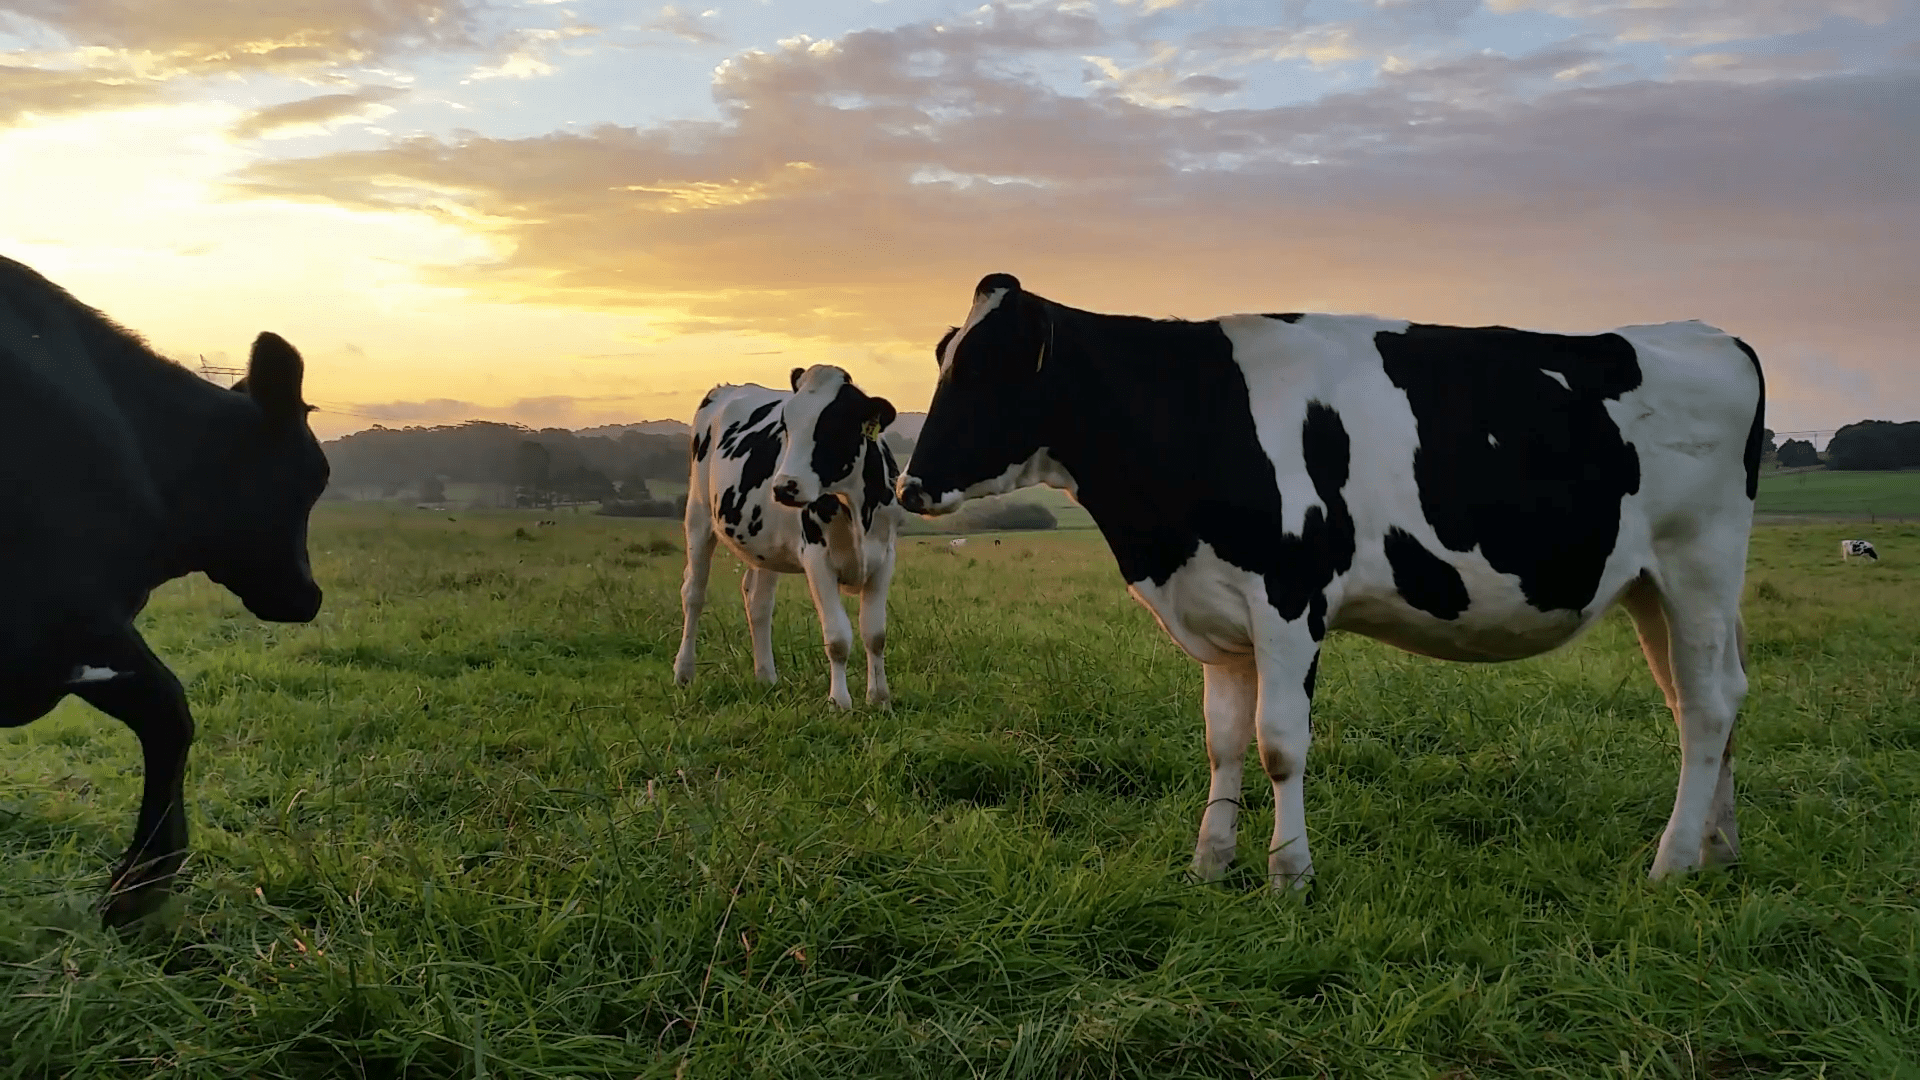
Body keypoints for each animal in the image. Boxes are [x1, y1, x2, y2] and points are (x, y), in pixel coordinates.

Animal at [674, 365, 905, 708]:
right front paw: (839, 702)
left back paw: (765, 677)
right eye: (786, 425)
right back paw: (684, 673)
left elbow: (875, 634)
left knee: (758, 602)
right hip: (699, 515)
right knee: (694, 593)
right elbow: (837, 637)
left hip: (765, 544)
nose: (784, 486)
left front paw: (879, 699)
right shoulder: (817, 558)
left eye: (835, 426)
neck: (855, 506)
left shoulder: (884, 556)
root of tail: (726, 387)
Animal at [899, 274, 1766, 889]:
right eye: (943, 358)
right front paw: (1209, 865)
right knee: (1706, 700)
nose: (909, 487)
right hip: (1649, 584)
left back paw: (1671, 863)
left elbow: (1280, 743)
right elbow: (1222, 742)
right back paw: (1719, 849)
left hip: (1700, 563)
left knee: (1707, 706)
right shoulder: (1218, 609)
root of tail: (1713, 334)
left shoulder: (1290, 596)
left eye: (989, 368)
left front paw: (1289, 874)